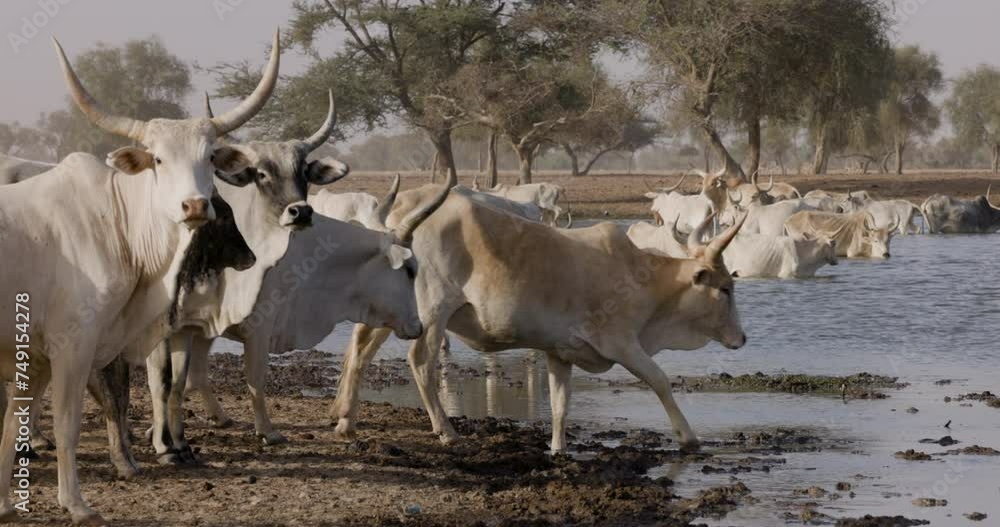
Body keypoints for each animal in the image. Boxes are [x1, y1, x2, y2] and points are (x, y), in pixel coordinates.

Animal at [0, 33, 279, 525]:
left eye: (210, 157)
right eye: (159, 159)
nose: (194, 206)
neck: (115, 223)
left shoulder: (33, 353)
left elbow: (11, 426)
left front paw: (2, 504)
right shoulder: (73, 345)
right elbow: (68, 423)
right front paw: (76, 504)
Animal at [329, 188, 749, 455]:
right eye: (725, 288)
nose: (742, 339)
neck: (643, 279)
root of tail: (399, 220)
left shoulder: (559, 352)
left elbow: (560, 403)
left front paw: (558, 449)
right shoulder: (623, 342)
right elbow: (660, 381)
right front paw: (689, 438)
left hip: (396, 312)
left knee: (360, 349)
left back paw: (346, 420)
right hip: (433, 311)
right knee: (419, 362)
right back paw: (446, 431)